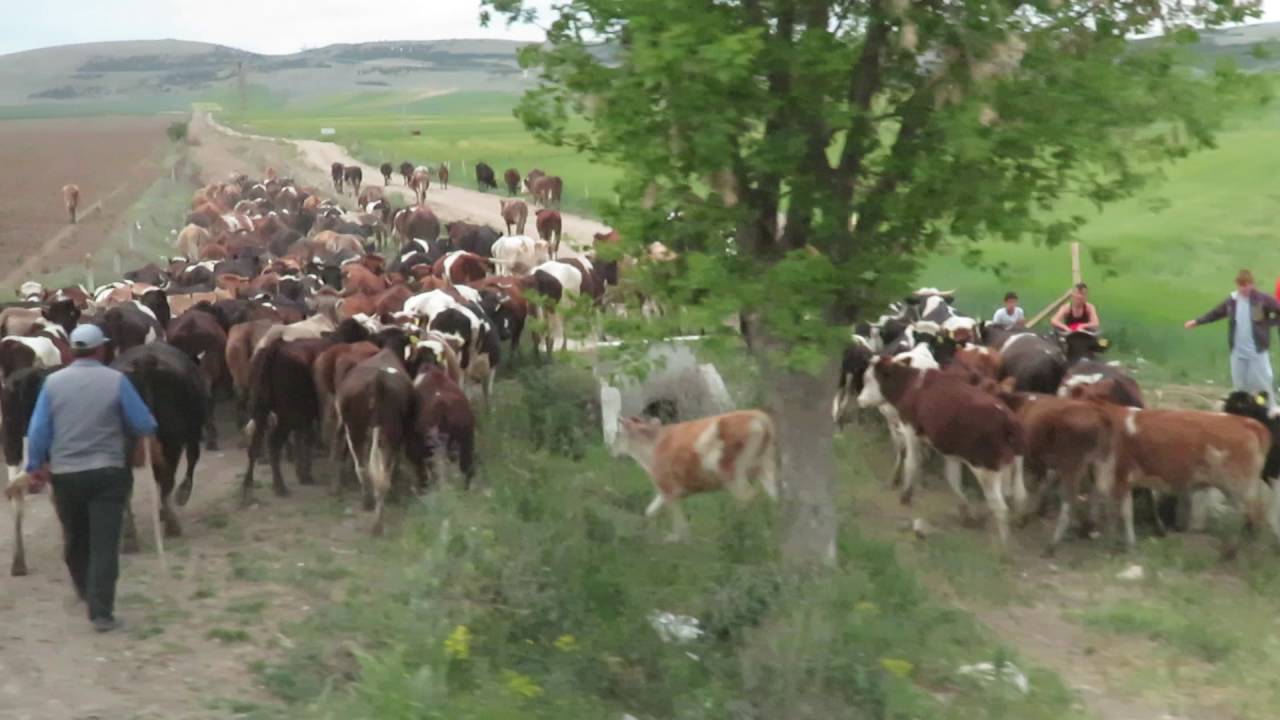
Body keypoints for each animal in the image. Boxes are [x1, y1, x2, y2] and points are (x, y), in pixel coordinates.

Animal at [610, 411, 778, 541]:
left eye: (617, 434)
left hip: (732, 473)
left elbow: (678, 520)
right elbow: (650, 511)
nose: (612, 450)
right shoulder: (671, 489)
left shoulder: (667, 486)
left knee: (749, 497)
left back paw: (740, 530)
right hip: (766, 468)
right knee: (773, 497)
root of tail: (760, 417)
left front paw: (676, 540)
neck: (652, 446)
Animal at [858, 356, 1025, 547]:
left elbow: (912, 462)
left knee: (1000, 506)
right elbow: (952, 479)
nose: (859, 400)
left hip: (985, 470)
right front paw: (965, 513)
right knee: (1015, 496)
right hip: (1012, 465)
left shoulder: (910, 430)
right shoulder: (952, 453)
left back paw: (1003, 546)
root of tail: (1006, 419)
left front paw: (905, 495)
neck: (913, 385)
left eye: (868, 379)